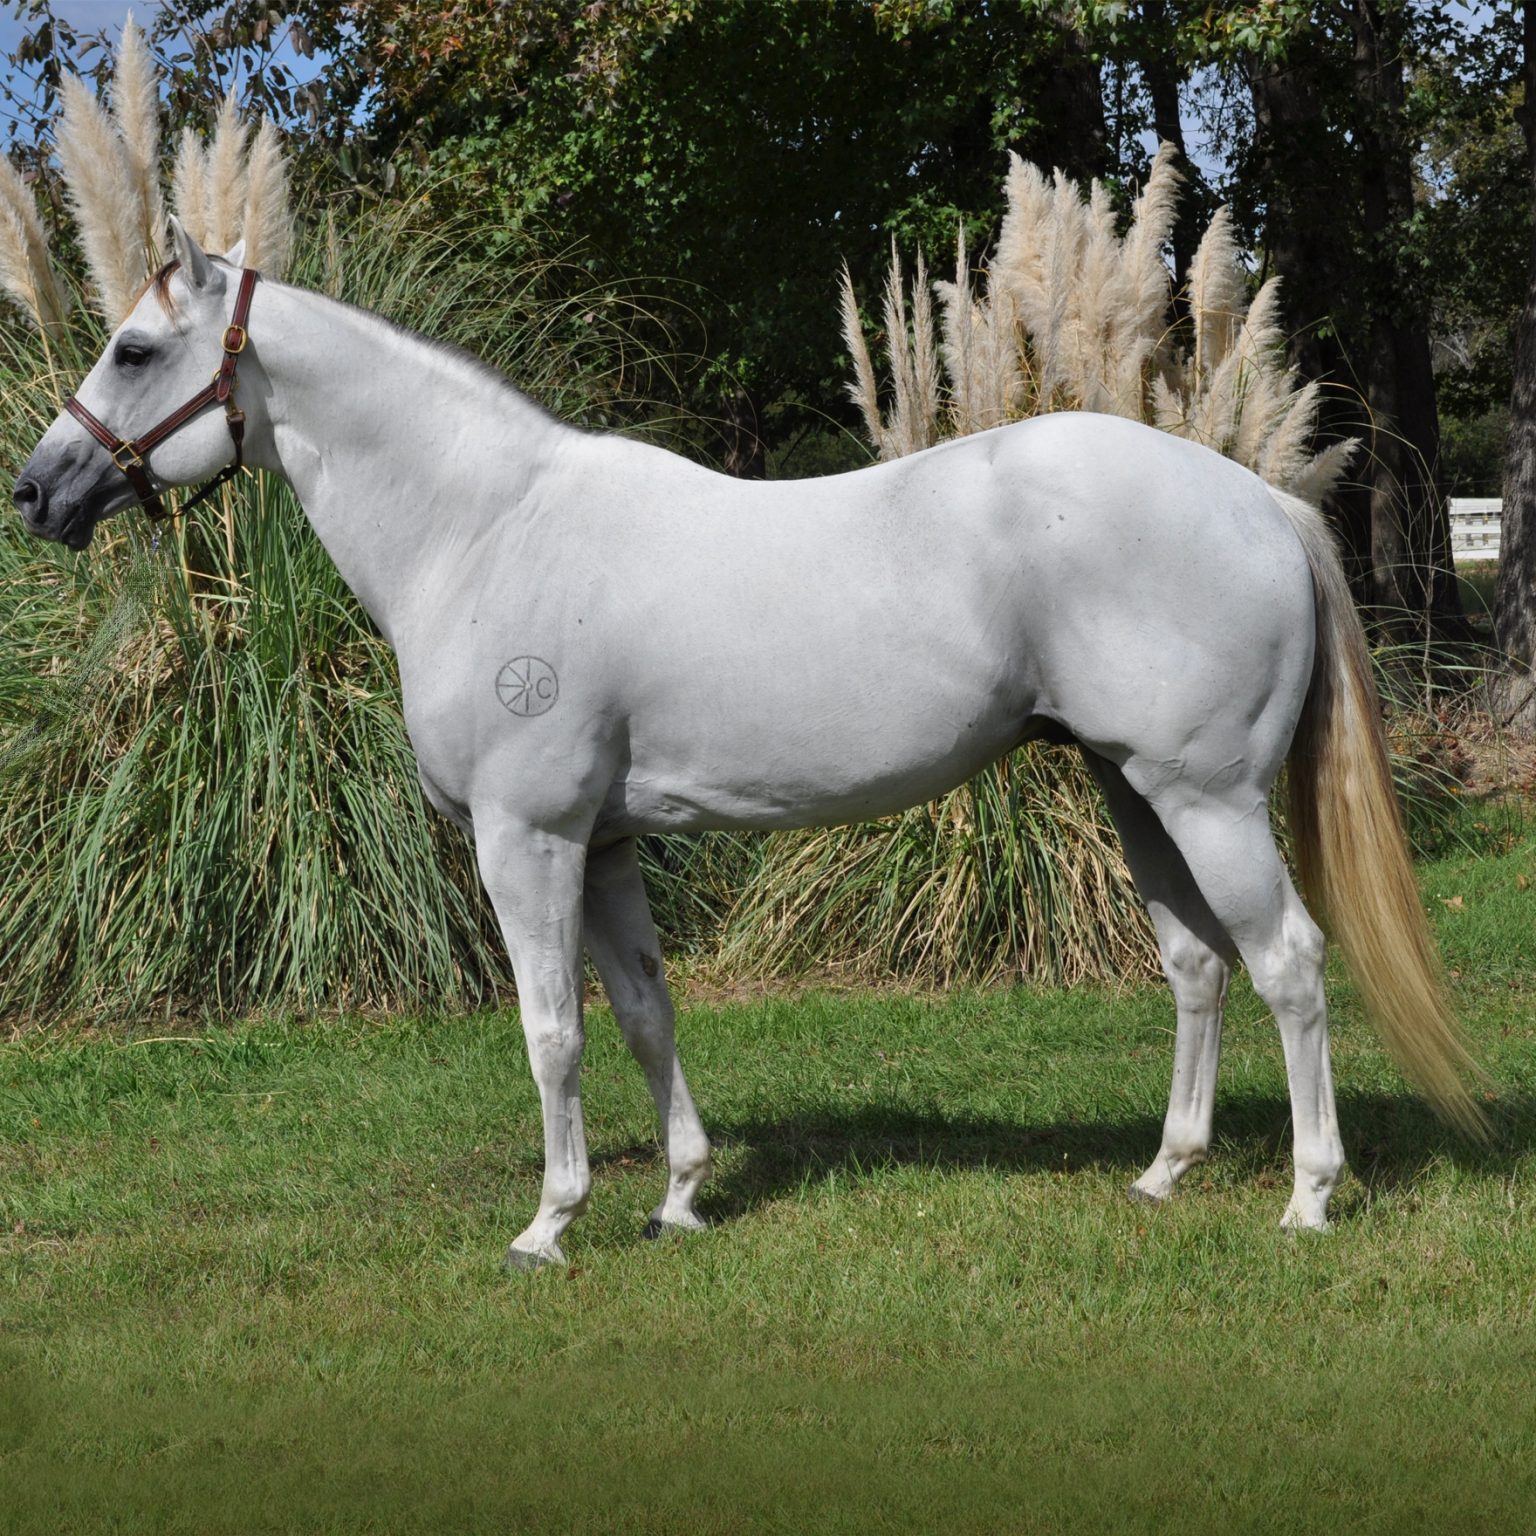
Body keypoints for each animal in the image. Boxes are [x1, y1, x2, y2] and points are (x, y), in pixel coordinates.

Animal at [14, 220, 1482, 1267]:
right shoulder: (606, 843)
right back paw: (1166, 1172)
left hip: (1209, 797)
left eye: (134, 352)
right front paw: (677, 1198)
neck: (487, 528)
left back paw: (1308, 1197)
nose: (37, 492)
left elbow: (552, 1030)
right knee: (1195, 963)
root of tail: (1260, 499)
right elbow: (645, 1012)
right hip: (1133, 792)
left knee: (1287, 962)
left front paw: (551, 1225)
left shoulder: (526, 840)